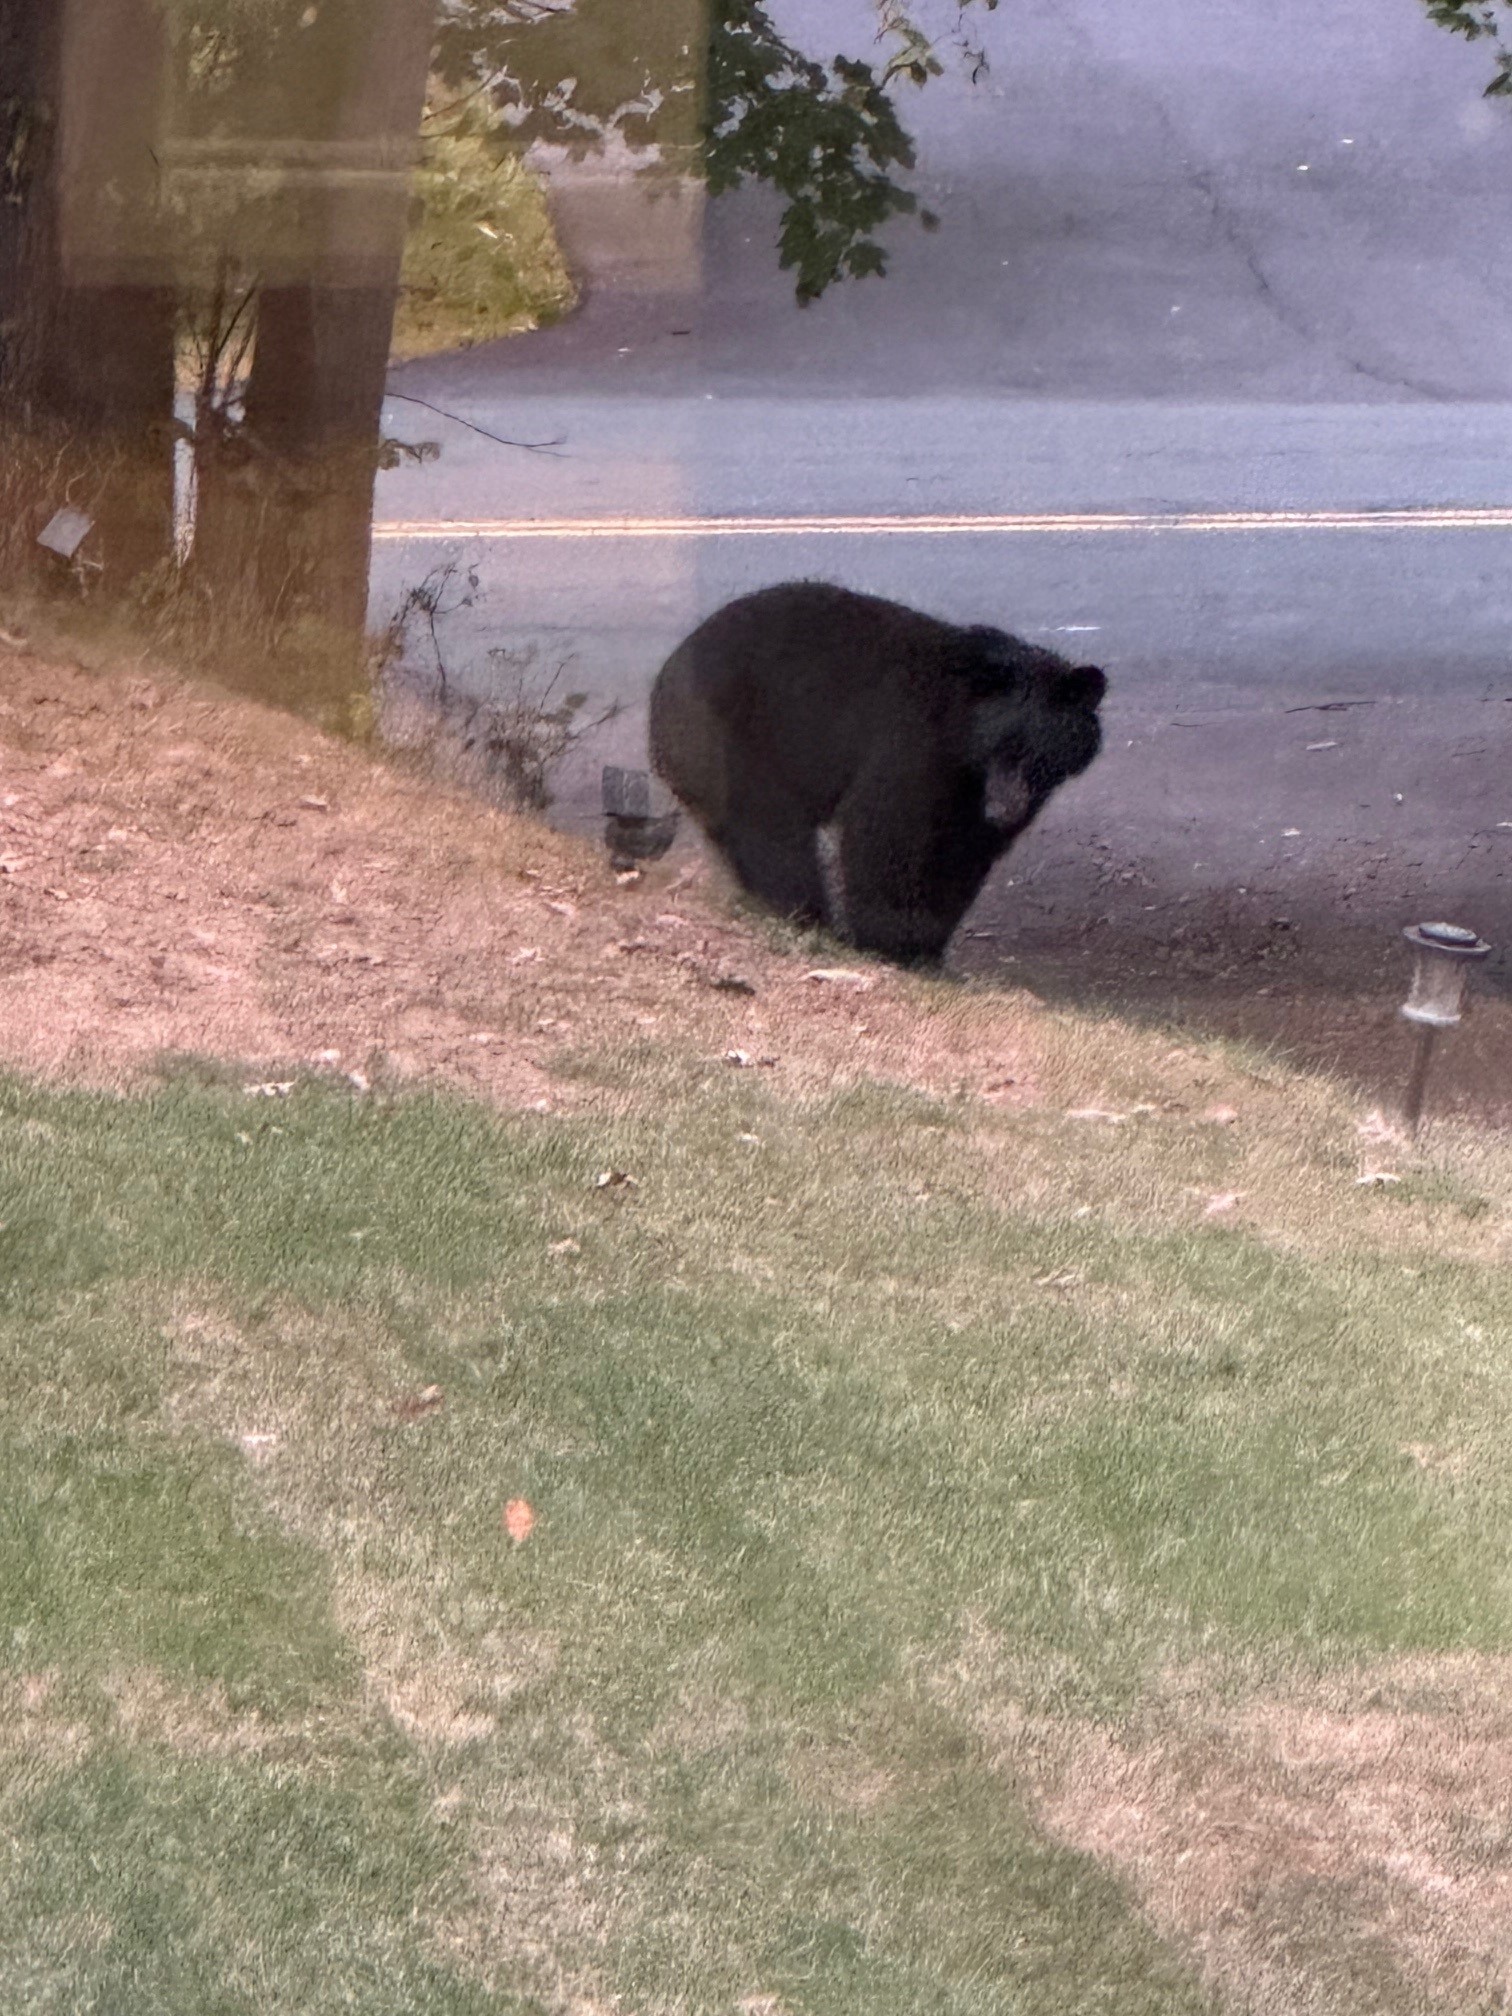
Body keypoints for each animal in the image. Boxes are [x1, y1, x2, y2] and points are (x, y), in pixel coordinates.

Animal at [648, 580, 1106, 966]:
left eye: (1039, 756)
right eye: (1002, 749)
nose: (1003, 811)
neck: (963, 735)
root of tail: (662, 682)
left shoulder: (977, 794)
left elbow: (961, 853)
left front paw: (930, 945)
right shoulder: (914, 741)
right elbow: (886, 832)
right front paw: (890, 940)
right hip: (743, 742)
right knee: (773, 832)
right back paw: (805, 913)